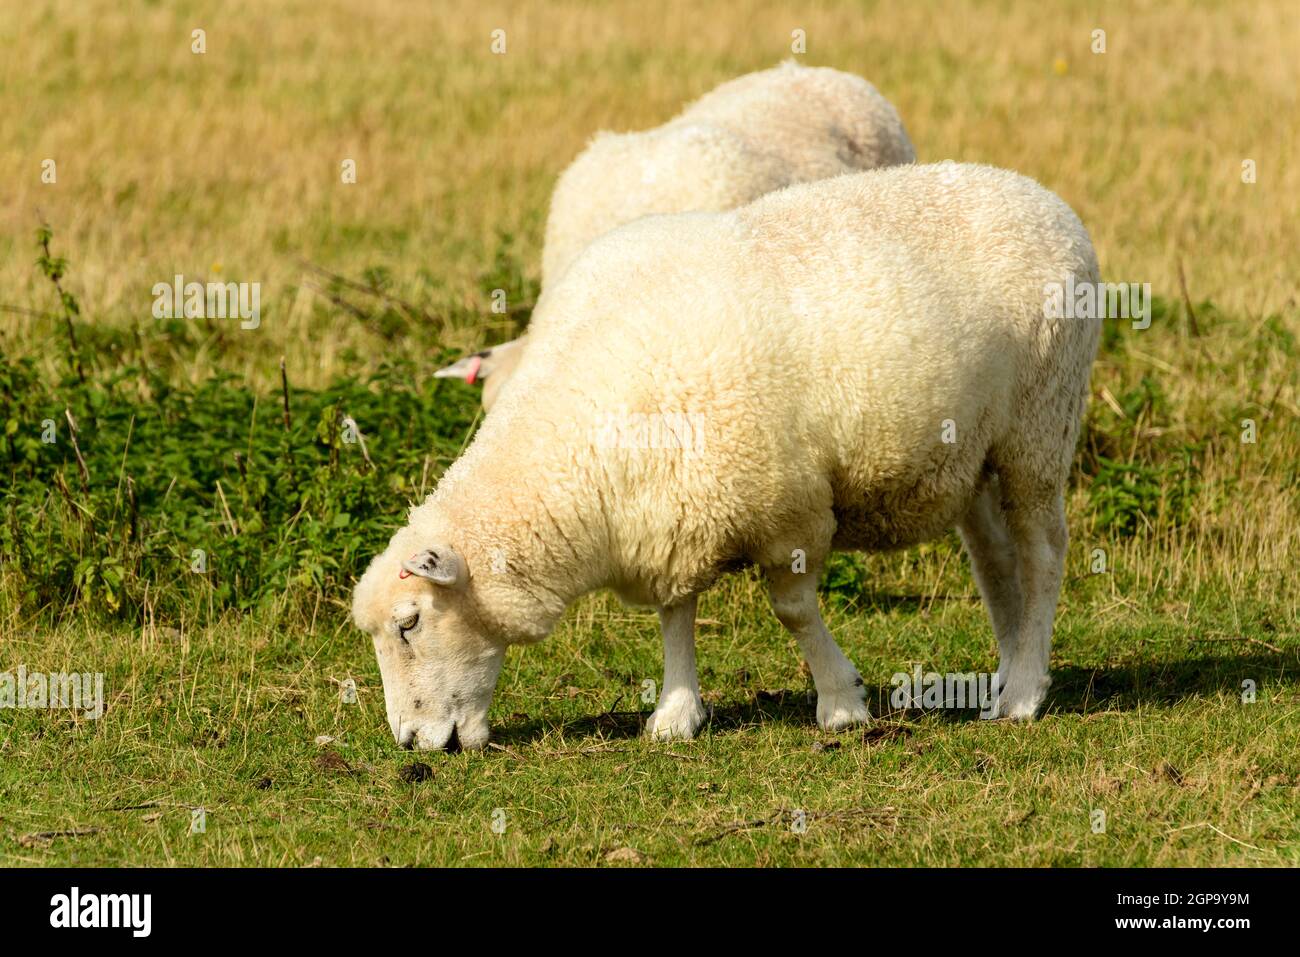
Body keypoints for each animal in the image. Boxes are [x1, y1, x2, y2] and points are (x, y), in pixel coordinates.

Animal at [353, 161, 1101, 751]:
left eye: (410, 623)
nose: (409, 740)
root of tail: (1050, 202)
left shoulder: (789, 508)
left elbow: (793, 612)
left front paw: (841, 702)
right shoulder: (668, 514)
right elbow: (674, 613)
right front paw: (676, 712)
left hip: (1041, 420)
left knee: (1042, 552)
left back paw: (1024, 692)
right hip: (977, 451)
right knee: (997, 560)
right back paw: (1007, 672)